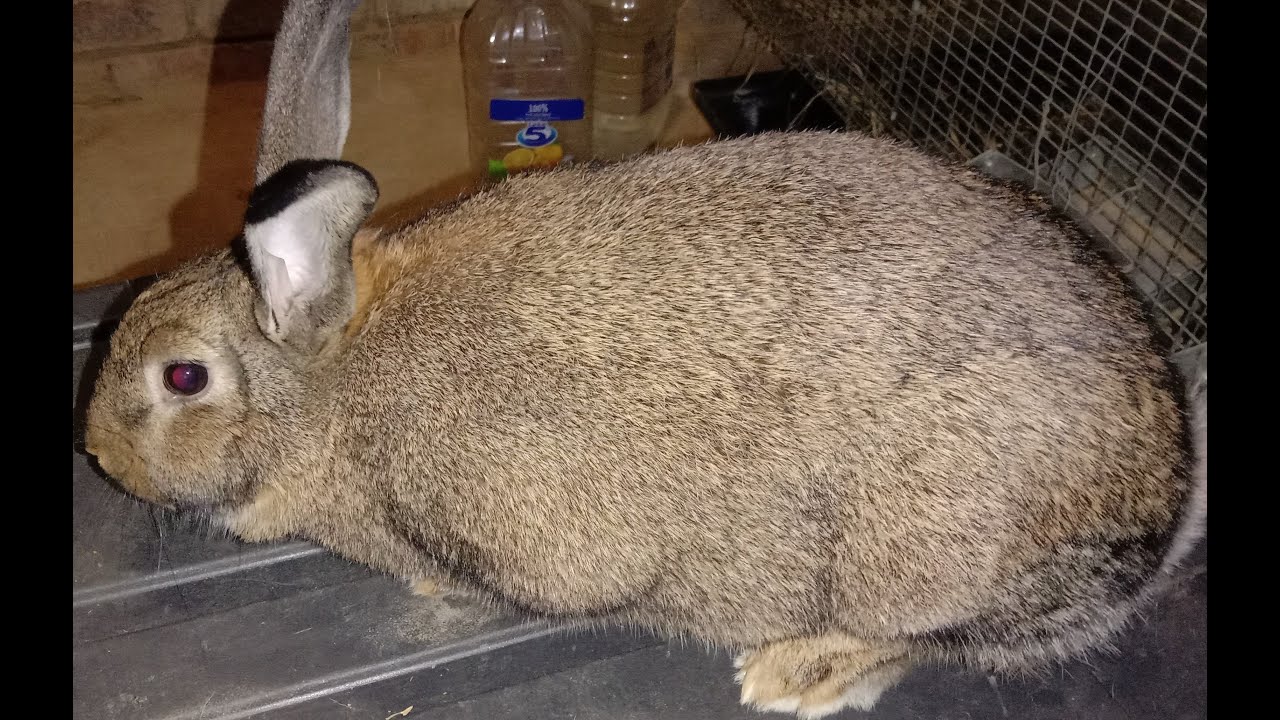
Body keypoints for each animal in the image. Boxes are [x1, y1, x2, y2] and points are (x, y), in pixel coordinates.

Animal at [83, 0, 1207, 717]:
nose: (97, 455)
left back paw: (794, 677)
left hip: (921, 557)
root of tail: (1165, 496)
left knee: (931, 633)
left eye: (182, 378)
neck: (335, 388)